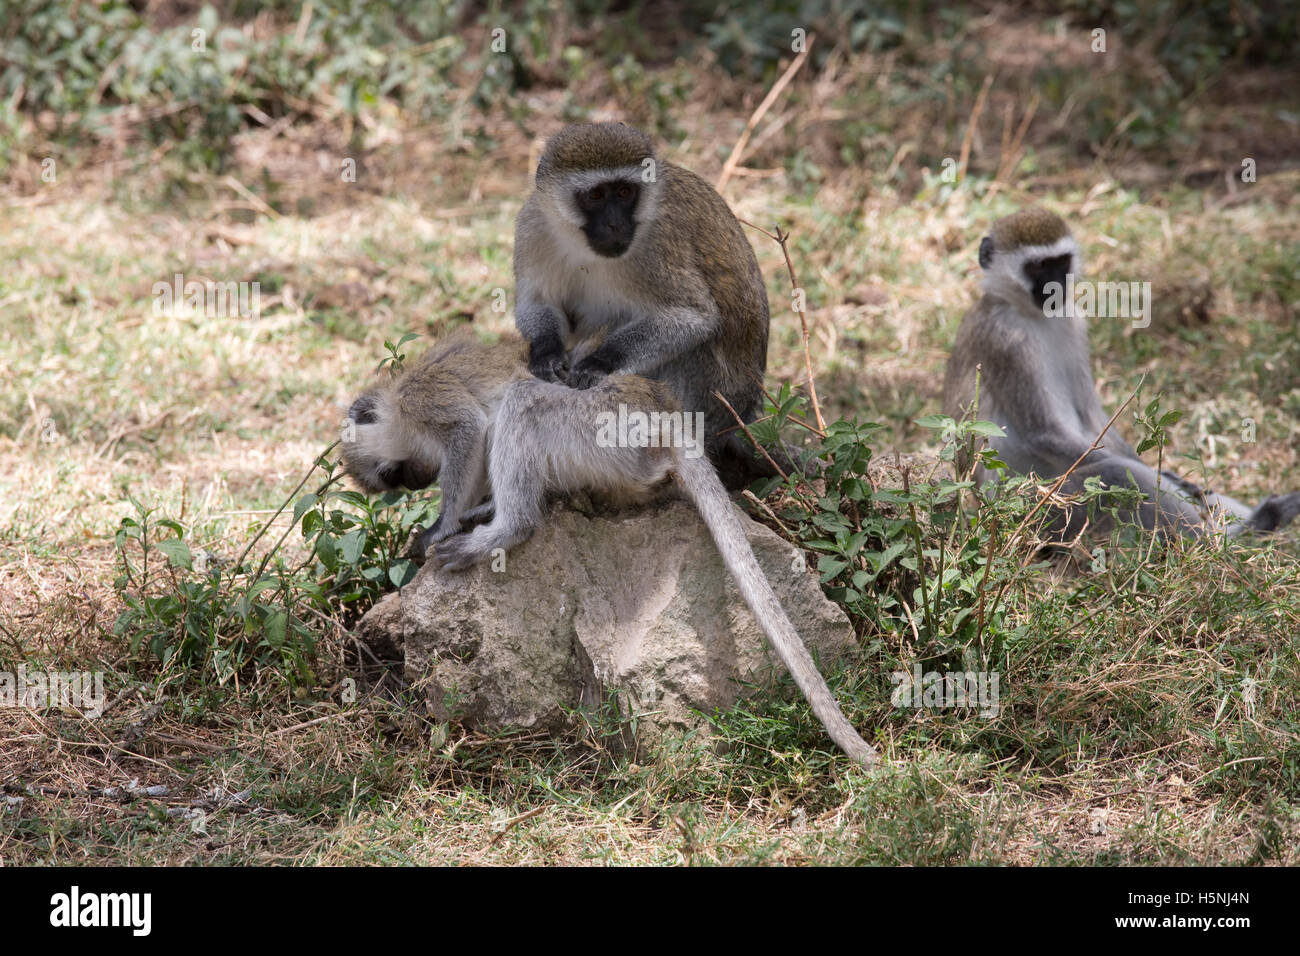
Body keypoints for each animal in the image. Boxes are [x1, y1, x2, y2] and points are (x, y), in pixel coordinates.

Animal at [341, 330, 879, 768]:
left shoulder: (427, 401)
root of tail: (663, 413)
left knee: (523, 403)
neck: (396, 400)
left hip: (599, 428)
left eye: (392, 474)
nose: (416, 481)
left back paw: (505, 528)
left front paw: (441, 526)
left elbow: (469, 432)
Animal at [512, 121, 784, 487]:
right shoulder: (533, 226)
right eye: (596, 195)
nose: (615, 224)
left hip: (715, 400)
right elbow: (536, 301)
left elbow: (694, 316)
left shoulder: (658, 246)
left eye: (625, 192)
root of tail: (744, 411)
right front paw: (546, 352)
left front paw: (600, 362)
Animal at [943, 206, 1300, 540]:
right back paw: (1233, 535)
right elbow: (1045, 432)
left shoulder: (1074, 323)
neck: (1029, 313)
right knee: (1115, 474)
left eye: (1061, 262)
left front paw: (1180, 479)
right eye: (1037, 267)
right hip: (1043, 509)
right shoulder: (1006, 340)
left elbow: (1092, 418)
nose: (1057, 285)